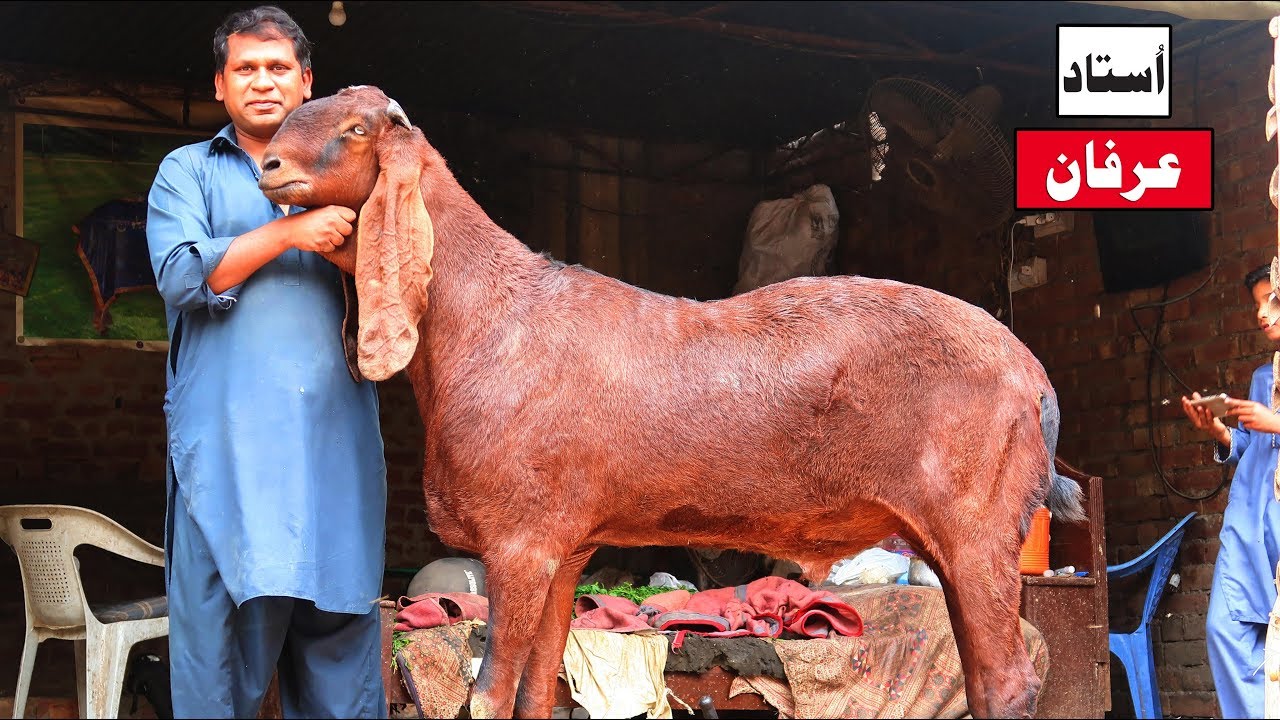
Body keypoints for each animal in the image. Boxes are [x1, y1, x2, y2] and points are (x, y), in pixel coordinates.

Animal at [259, 85, 1085, 719]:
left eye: (355, 128)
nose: (268, 163)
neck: (487, 315)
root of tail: (1036, 381)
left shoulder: (519, 543)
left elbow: (489, 697)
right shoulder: (566, 546)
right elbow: (535, 690)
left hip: (977, 527)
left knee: (1009, 682)